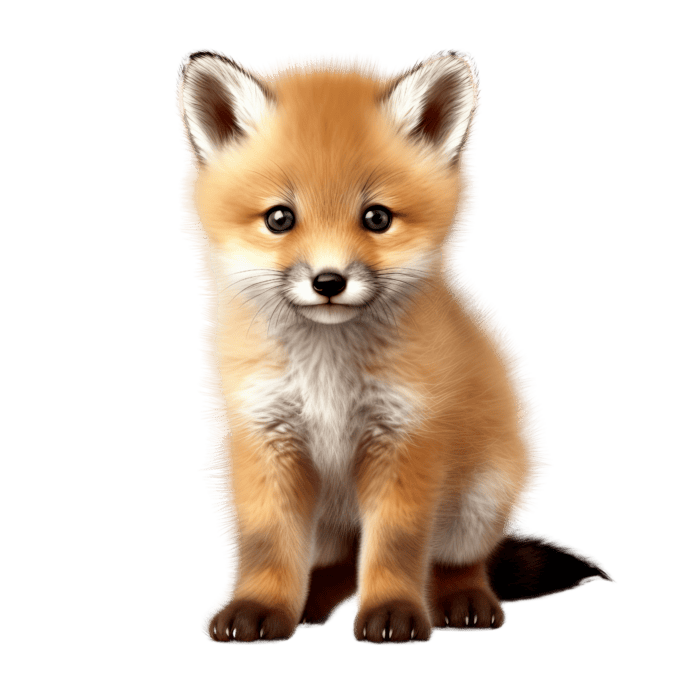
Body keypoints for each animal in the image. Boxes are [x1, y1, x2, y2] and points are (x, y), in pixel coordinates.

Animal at [174, 47, 615, 646]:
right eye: (280, 218)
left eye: (377, 218)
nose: (329, 281)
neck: (327, 373)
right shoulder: (267, 437)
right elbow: (268, 544)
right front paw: (261, 605)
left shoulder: (407, 439)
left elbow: (397, 545)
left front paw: (393, 610)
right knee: (338, 563)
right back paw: (315, 602)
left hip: (478, 501)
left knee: (452, 561)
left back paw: (462, 600)